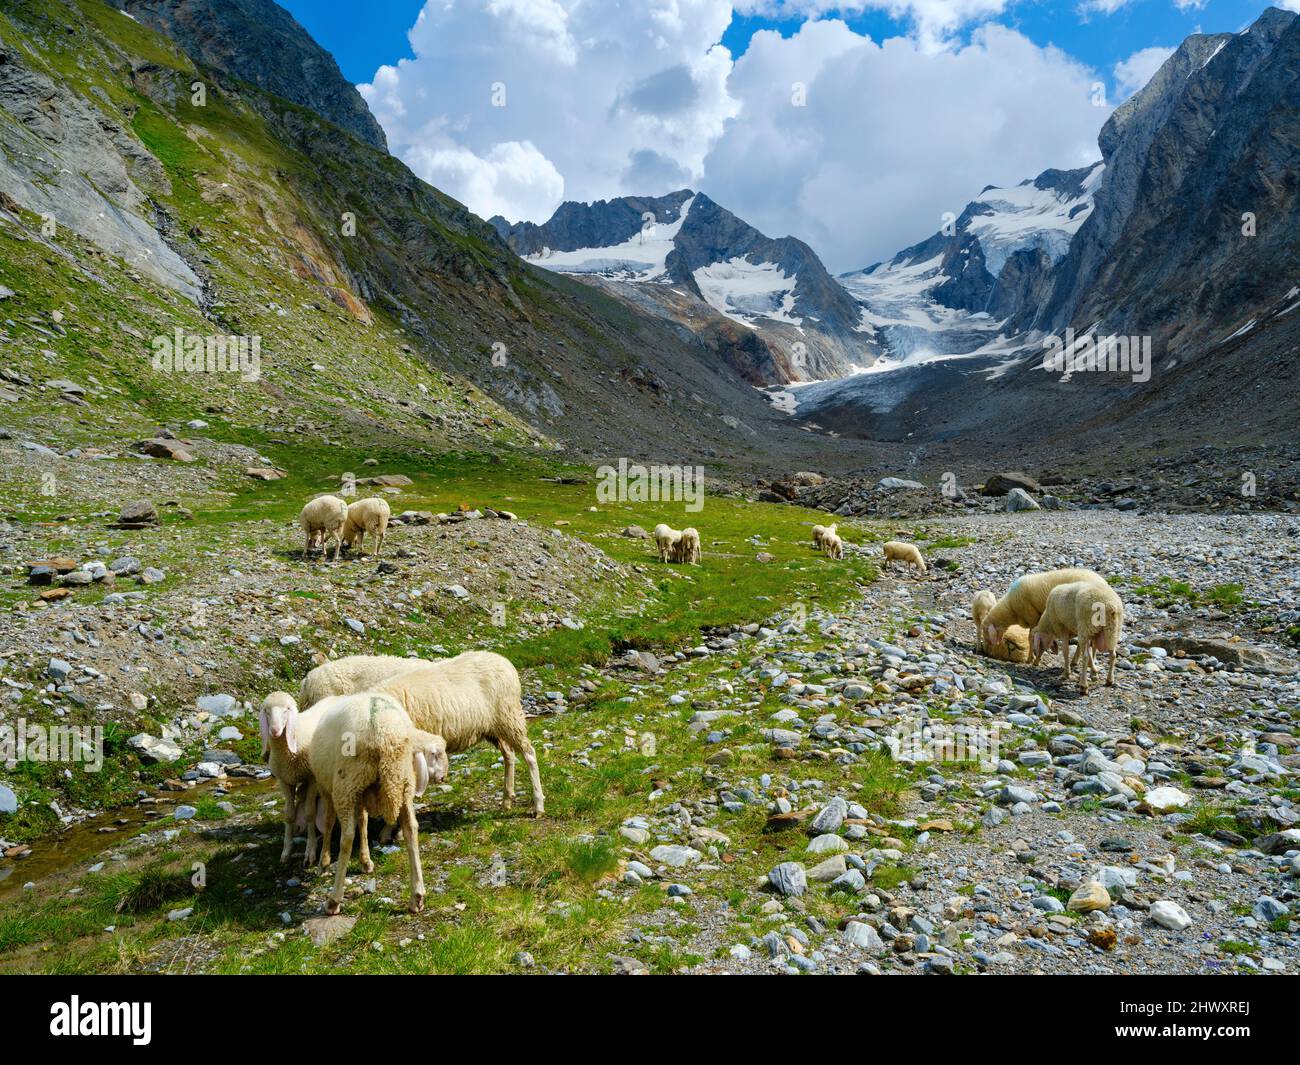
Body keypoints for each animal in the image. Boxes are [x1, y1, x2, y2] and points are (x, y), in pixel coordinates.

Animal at [304, 692, 448, 914]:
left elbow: (328, 824)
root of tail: (383, 732)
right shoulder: (361, 793)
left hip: (346, 783)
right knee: (411, 828)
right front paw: (365, 861)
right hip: (403, 780)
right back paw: (417, 896)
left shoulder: (326, 788)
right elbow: (363, 821)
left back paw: (334, 900)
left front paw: (324, 863)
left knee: (347, 837)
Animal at [374, 650, 544, 817]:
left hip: (510, 718)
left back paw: (538, 805)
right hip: (494, 728)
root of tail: (504, 660)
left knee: (529, 753)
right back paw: (506, 801)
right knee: (509, 755)